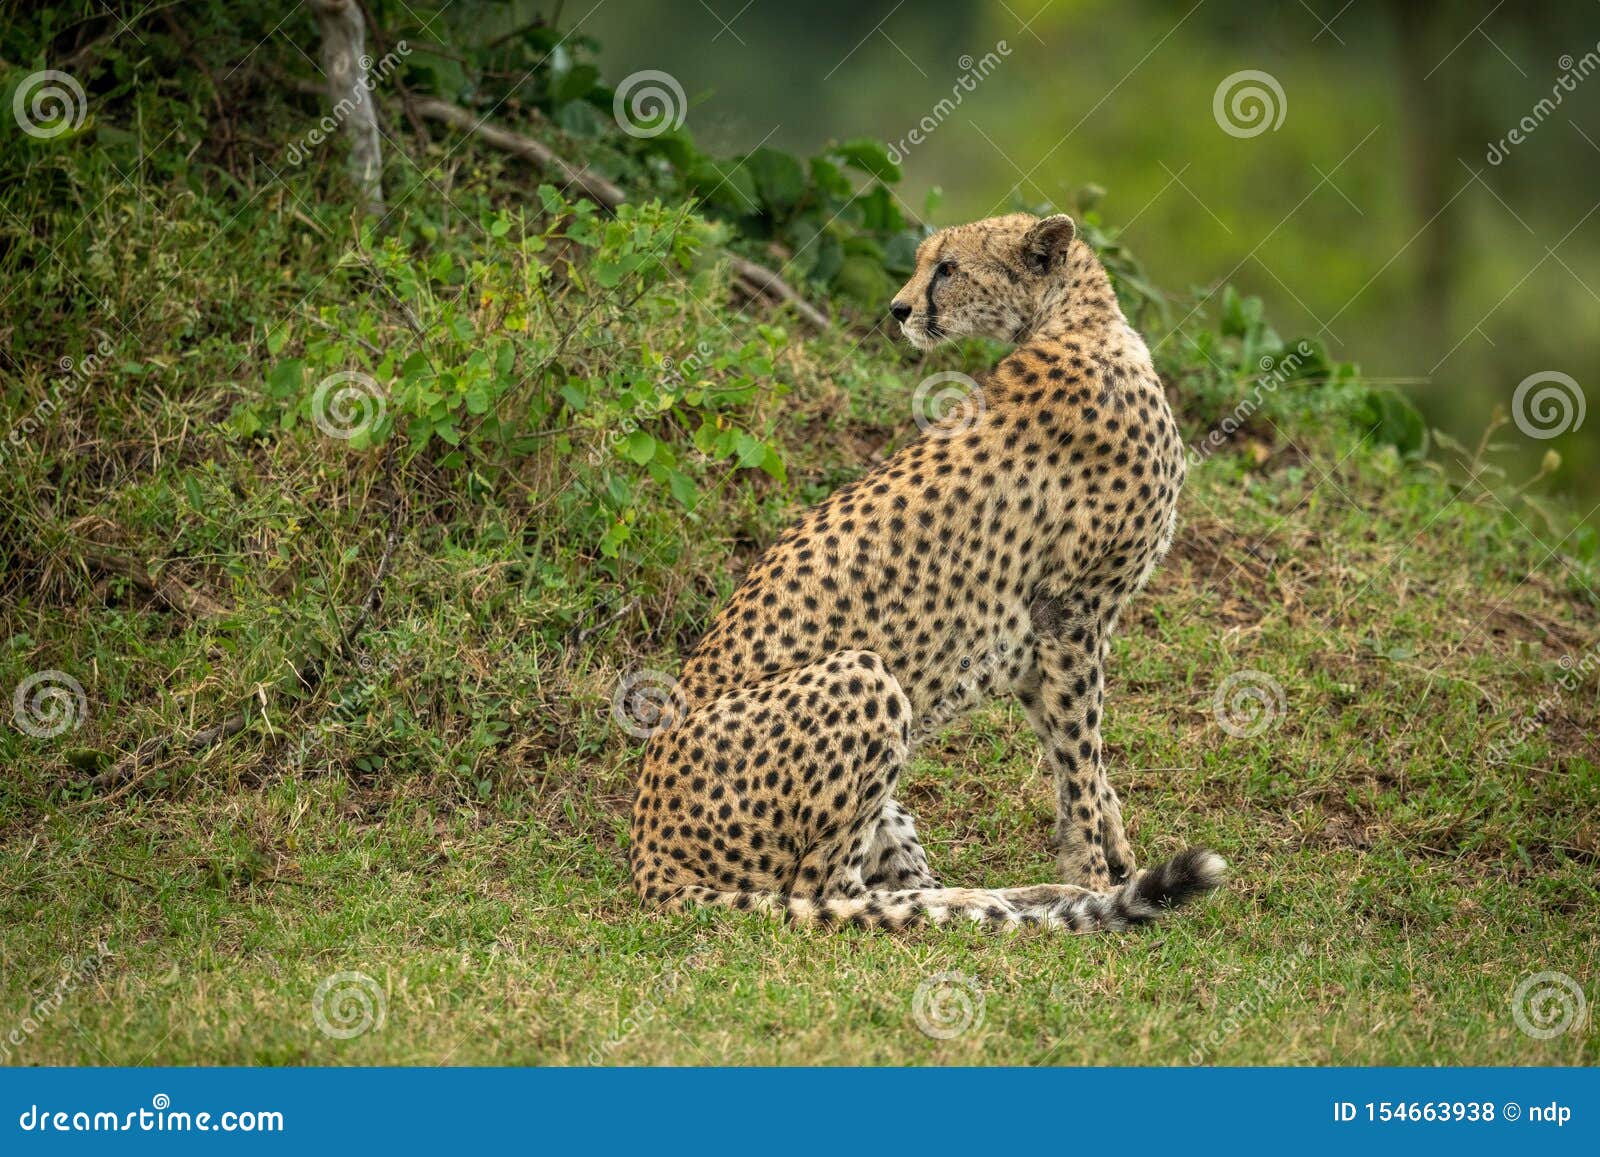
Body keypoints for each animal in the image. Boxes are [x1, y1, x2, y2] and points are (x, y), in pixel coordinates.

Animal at [626, 211, 1225, 931]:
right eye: (925, 263)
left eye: (948, 267)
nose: (898, 309)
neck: (1076, 322)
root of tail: (648, 857)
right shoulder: (1071, 612)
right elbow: (1081, 759)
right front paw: (1095, 877)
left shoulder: (1042, 641)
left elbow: (1081, 754)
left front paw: (1115, 864)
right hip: (865, 676)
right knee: (831, 889)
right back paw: (993, 902)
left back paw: (1017, 899)